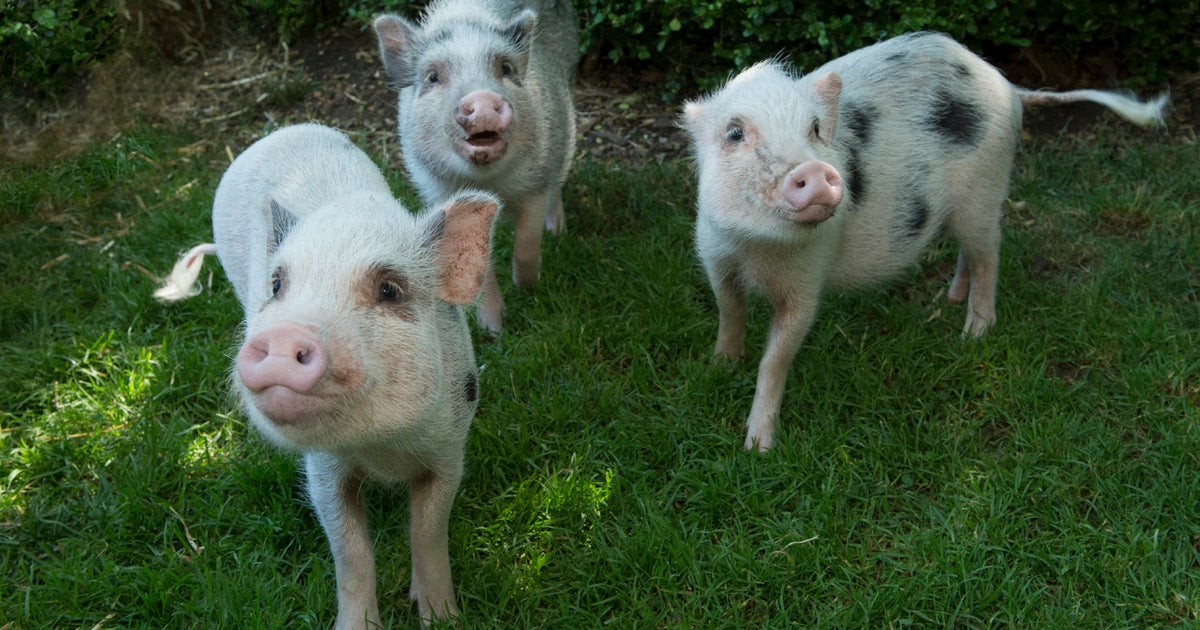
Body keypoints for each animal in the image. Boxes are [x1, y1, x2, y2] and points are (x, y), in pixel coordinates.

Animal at [155, 123, 499, 627]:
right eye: (277, 285)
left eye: (389, 289)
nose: (284, 334)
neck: (382, 448)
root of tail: (281, 133)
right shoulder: (323, 469)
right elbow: (351, 553)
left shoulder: (450, 448)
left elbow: (429, 533)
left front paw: (443, 618)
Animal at [373, 0, 580, 334]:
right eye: (433, 76)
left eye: (506, 68)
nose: (482, 98)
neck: (491, 185)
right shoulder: (440, 191)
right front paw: (492, 331)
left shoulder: (537, 179)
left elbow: (527, 240)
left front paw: (527, 286)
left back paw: (558, 231)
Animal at [681, 32, 1168, 452]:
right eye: (734, 133)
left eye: (815, 130)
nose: (815, 170)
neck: (756, 249)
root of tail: (1005, 84)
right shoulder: (714, 255)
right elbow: (729, 310)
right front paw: (720, 365)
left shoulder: (807, 282)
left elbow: (776, 358)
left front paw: (757, 449)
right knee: (969, 254)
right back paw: (946, 301)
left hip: (984, 193)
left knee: (990, 254)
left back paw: (972, 334)